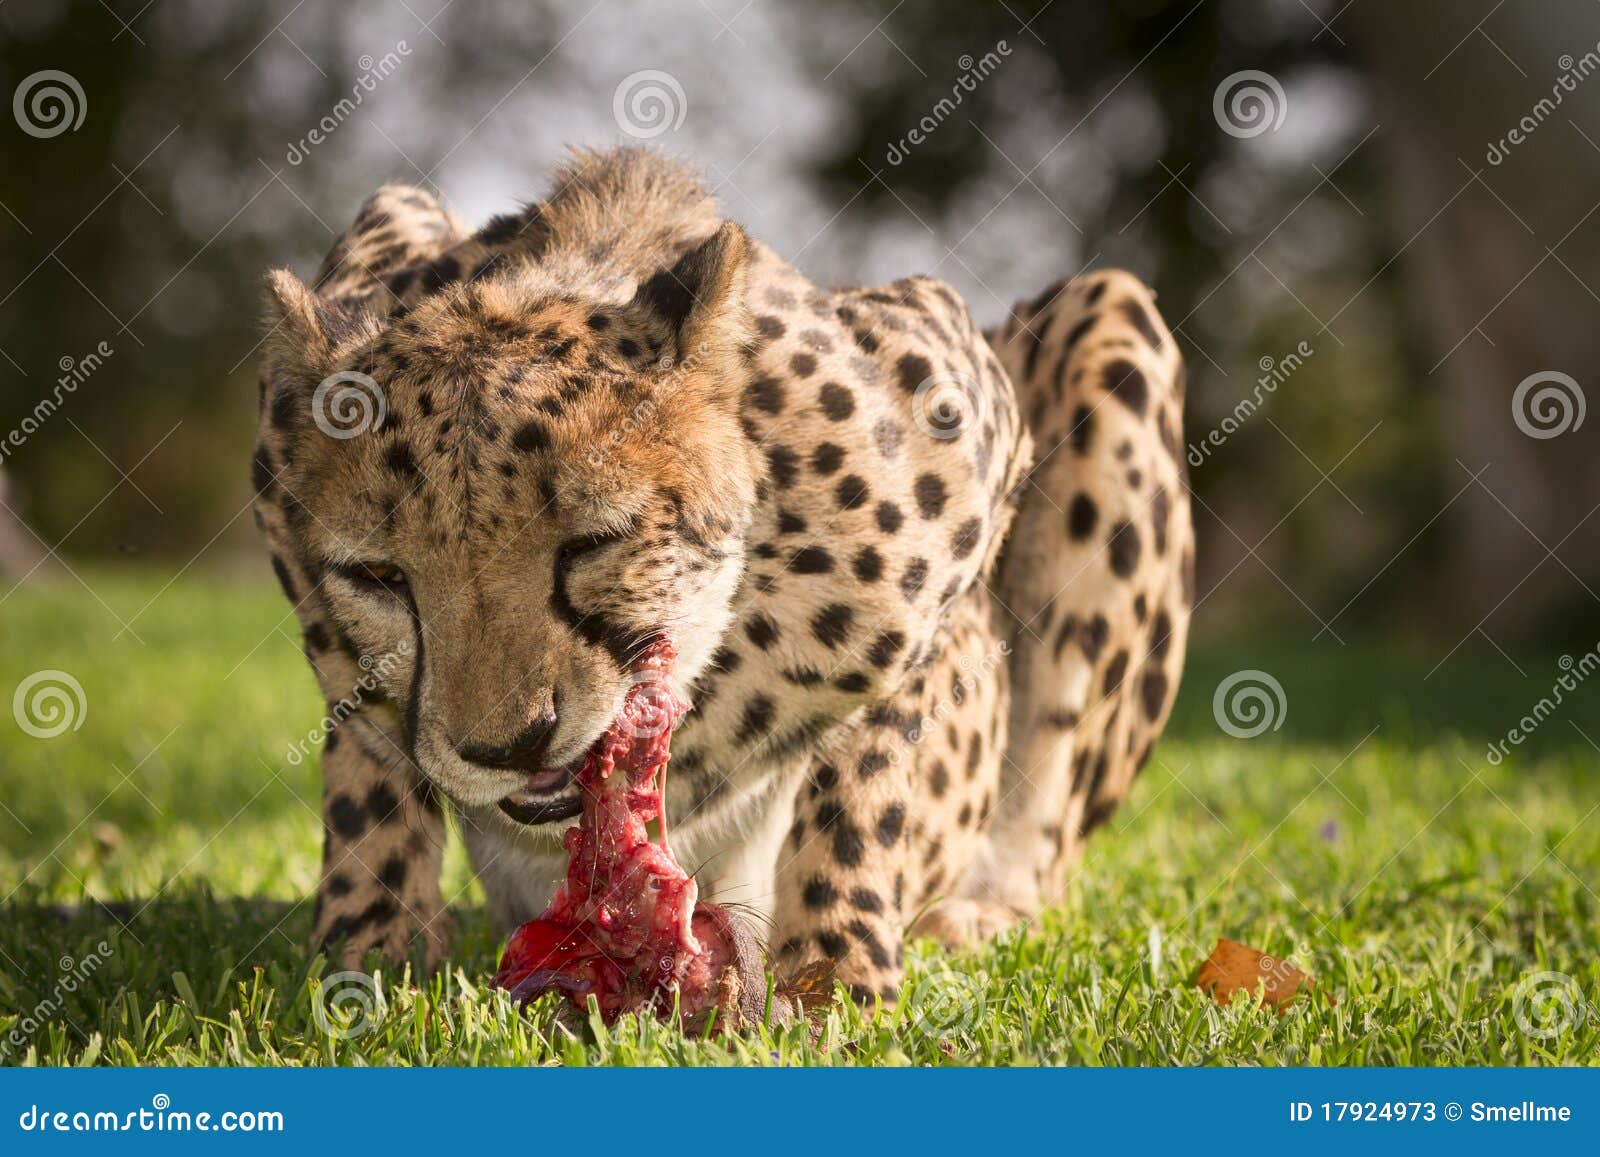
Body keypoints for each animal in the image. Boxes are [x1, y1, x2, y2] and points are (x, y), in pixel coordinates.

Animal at [251, 146, 1194, 1003]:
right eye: (379, 574)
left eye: (596, 539)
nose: (509, 745)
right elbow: (366, 762)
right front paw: (369, 944)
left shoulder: (961, 433)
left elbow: (868, 762)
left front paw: (832, 972)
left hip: (1108, 313)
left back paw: (980, 911)